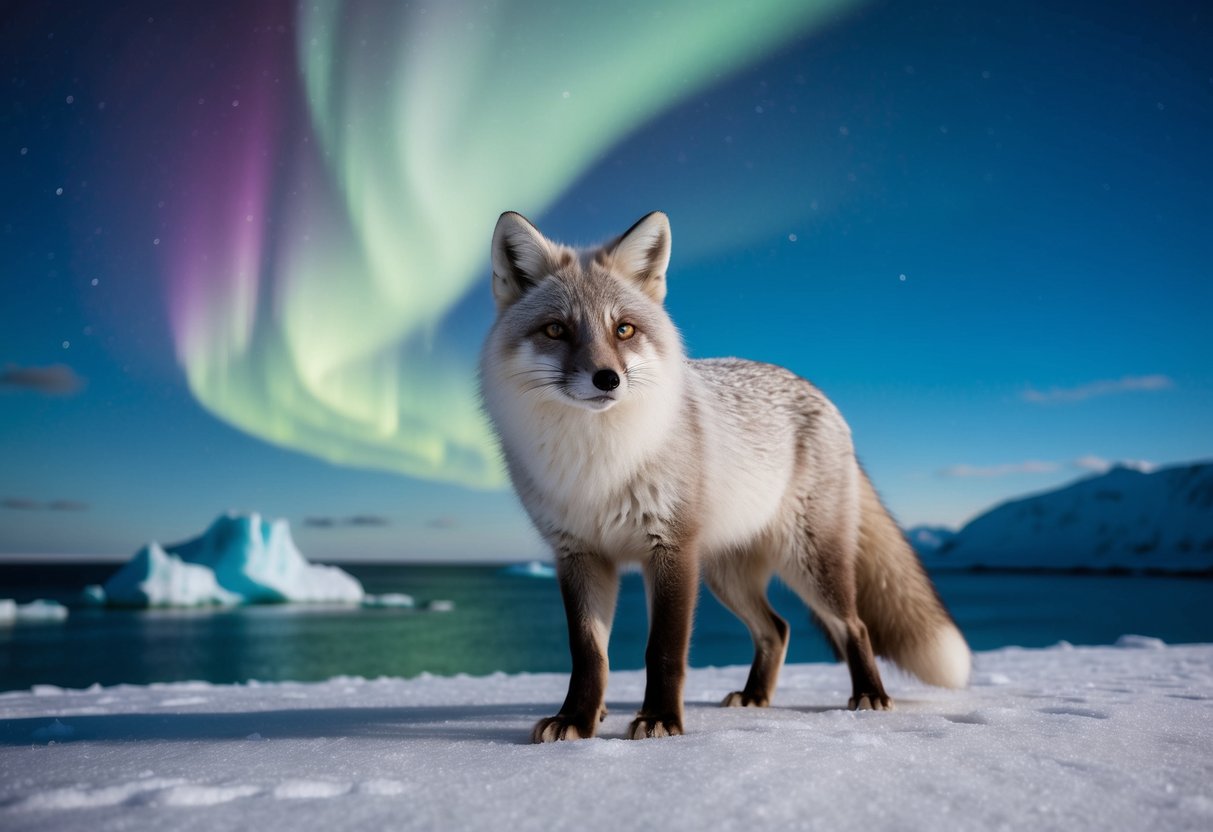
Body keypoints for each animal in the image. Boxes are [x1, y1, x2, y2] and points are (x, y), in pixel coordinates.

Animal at [479, 210, 971, 742]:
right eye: (556, 329)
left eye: (624, 329)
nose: (607, 379)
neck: (597, 464)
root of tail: (822, 396)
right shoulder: (579, 554)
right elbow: (590, 655)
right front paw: (578, 719)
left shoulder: (670, 548)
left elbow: (663, 650)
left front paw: (660, 720)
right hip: (725, 575)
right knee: (777, 629)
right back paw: (755, 697)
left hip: (808, 562)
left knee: (853, 627)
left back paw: (870, 697)